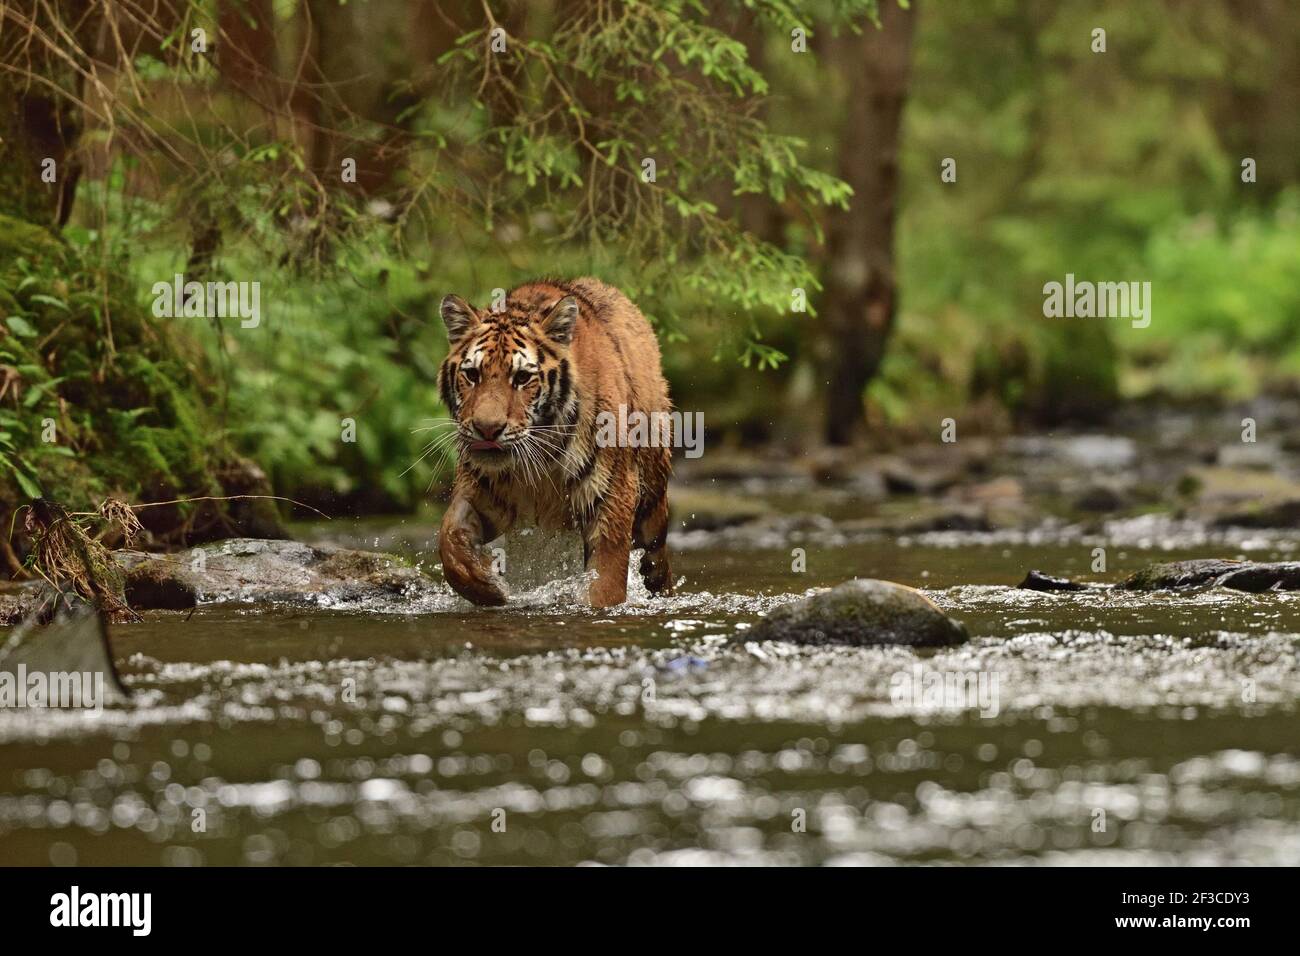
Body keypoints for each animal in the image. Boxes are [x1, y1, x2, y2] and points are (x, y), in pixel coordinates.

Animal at [435, 277, 674, 608]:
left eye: (522, 377)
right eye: (471, 374)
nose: (487, 429)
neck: (539, 459)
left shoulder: (612, 497)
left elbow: (607, 581)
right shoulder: (483, 492)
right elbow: (449, 538)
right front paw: (489, 586)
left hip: (651, 504)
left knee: (656, 559)